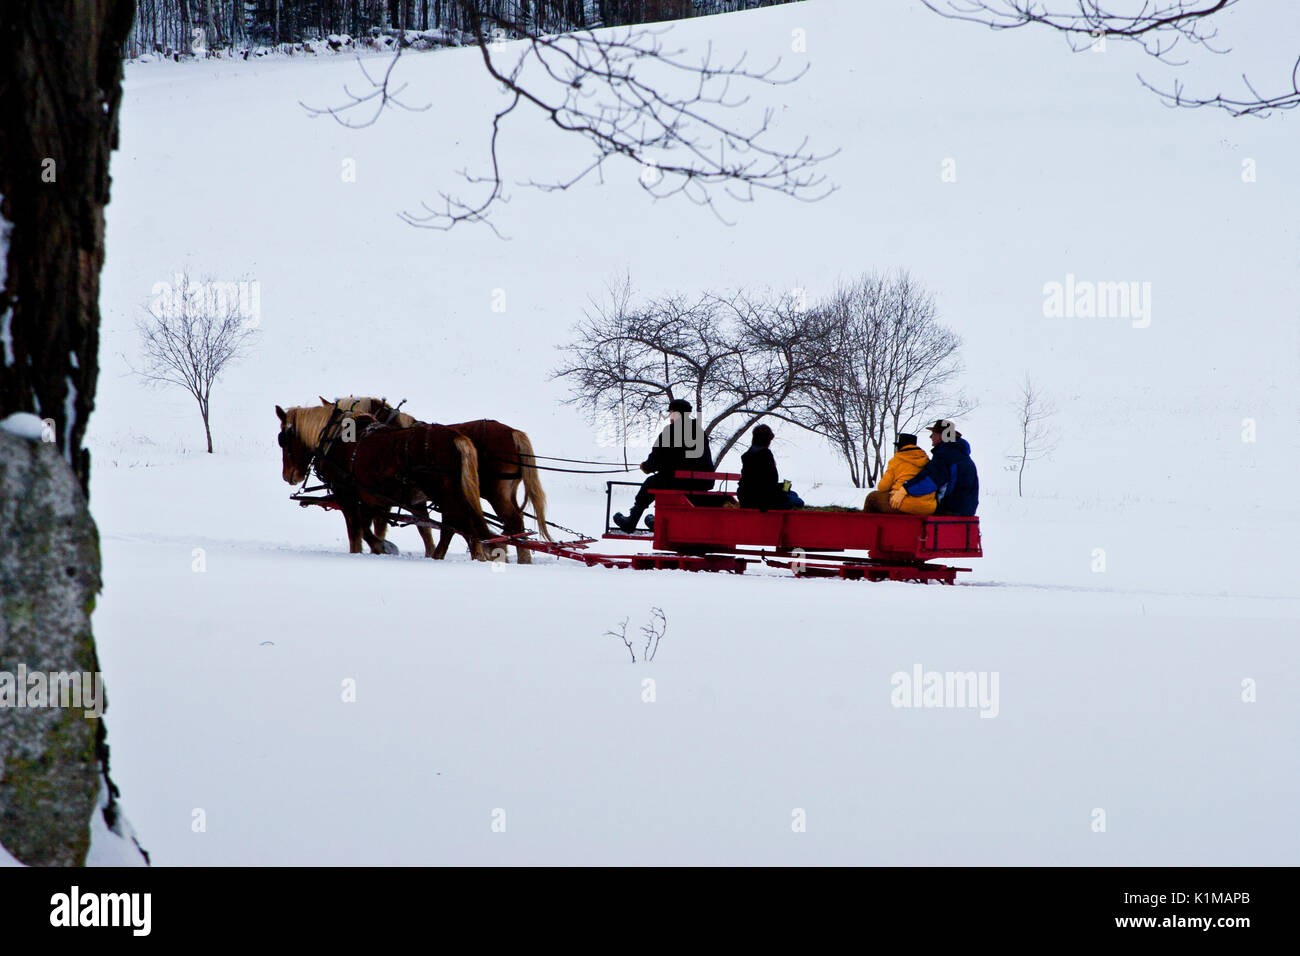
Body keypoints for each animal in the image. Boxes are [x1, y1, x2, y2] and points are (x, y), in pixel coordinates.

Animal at [276, 404, 489, 560]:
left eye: (283, 439)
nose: (289, 475)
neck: (336, 438)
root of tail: (456, 437)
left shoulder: (346, 493)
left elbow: (356, 530)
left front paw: (377, 548)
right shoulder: (376, 500)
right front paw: (380, 547)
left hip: (443, 494)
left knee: (457, 526)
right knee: (463, 526)